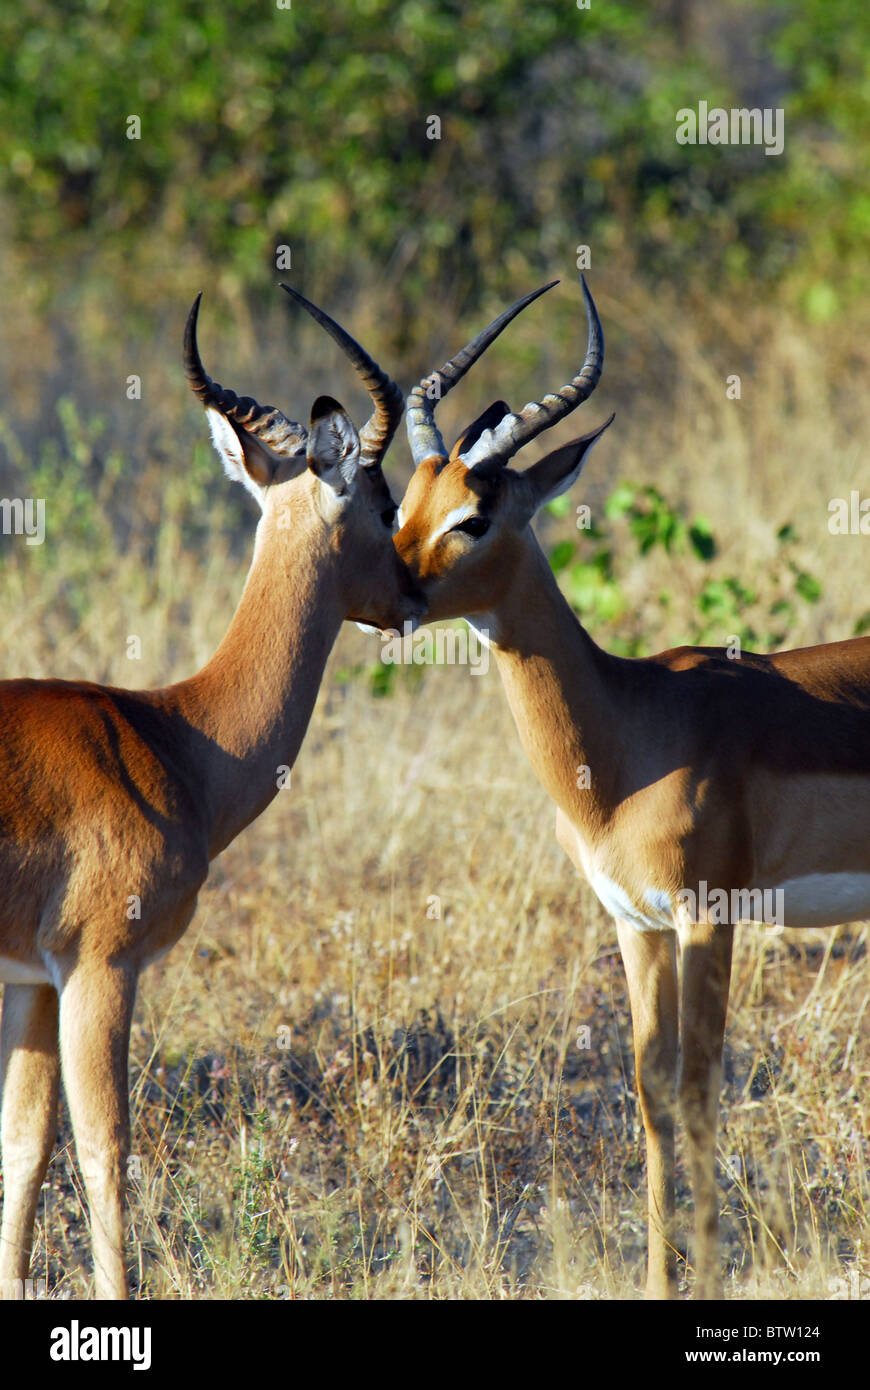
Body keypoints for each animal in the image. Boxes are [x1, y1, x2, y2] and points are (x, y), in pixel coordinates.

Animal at [0, 285, 425, 1299]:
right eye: (383, 499)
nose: (415, 595)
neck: (175, 737)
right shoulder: (102, 966)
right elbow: (106, 1152)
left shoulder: (31, 981)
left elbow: (24, 1152)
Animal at [392, 274, 870, 1298]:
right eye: (406, 499)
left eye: (473, 517)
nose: (390, 593)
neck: (628, 743)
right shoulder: (633, 924)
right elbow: (649, 1097)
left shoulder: (708, 918)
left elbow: (698, 1093)